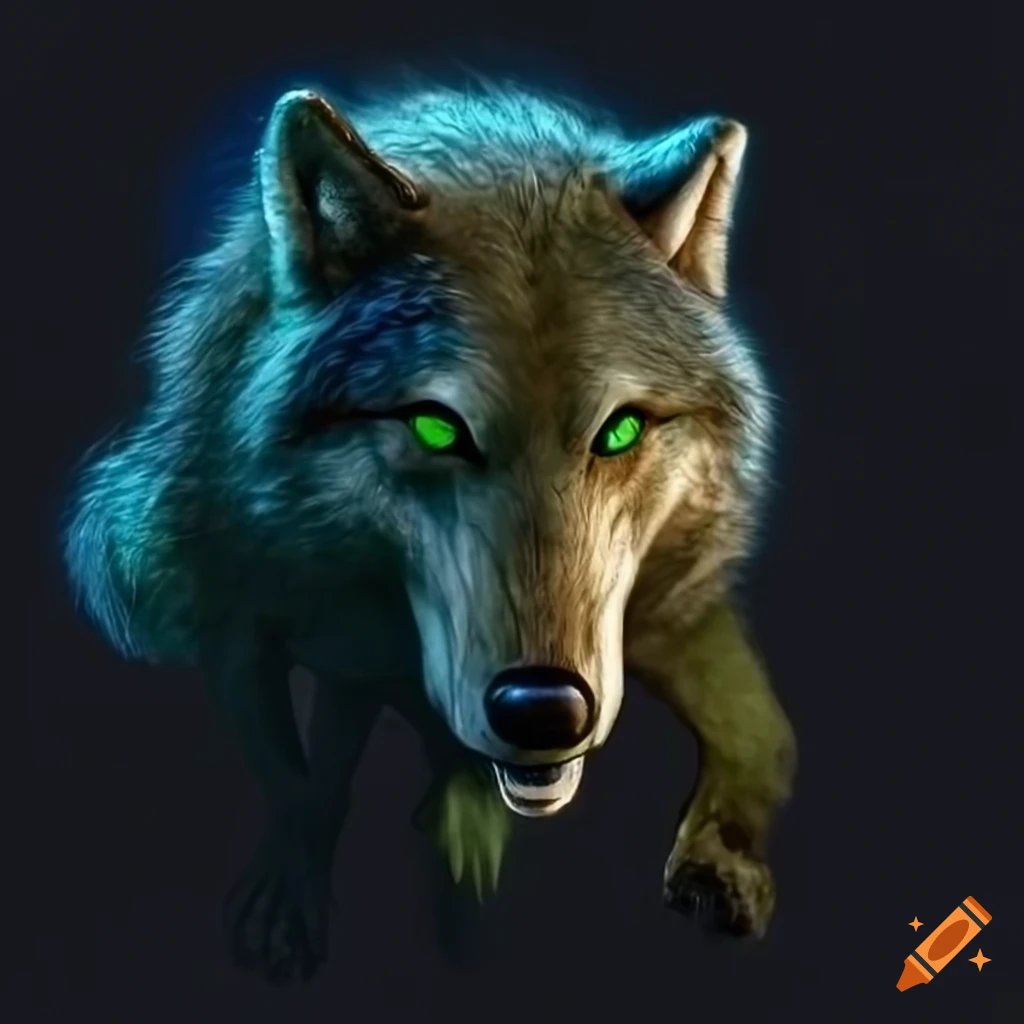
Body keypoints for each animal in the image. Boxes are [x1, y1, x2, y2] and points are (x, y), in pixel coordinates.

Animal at [63, 77, 797, 982]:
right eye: (438, 426)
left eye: (620, 430)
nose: (544, 710)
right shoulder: (229, 613)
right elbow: (293, 774)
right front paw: (289, 897)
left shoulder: (674, 615)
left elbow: (764, 733)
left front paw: (718, 865)